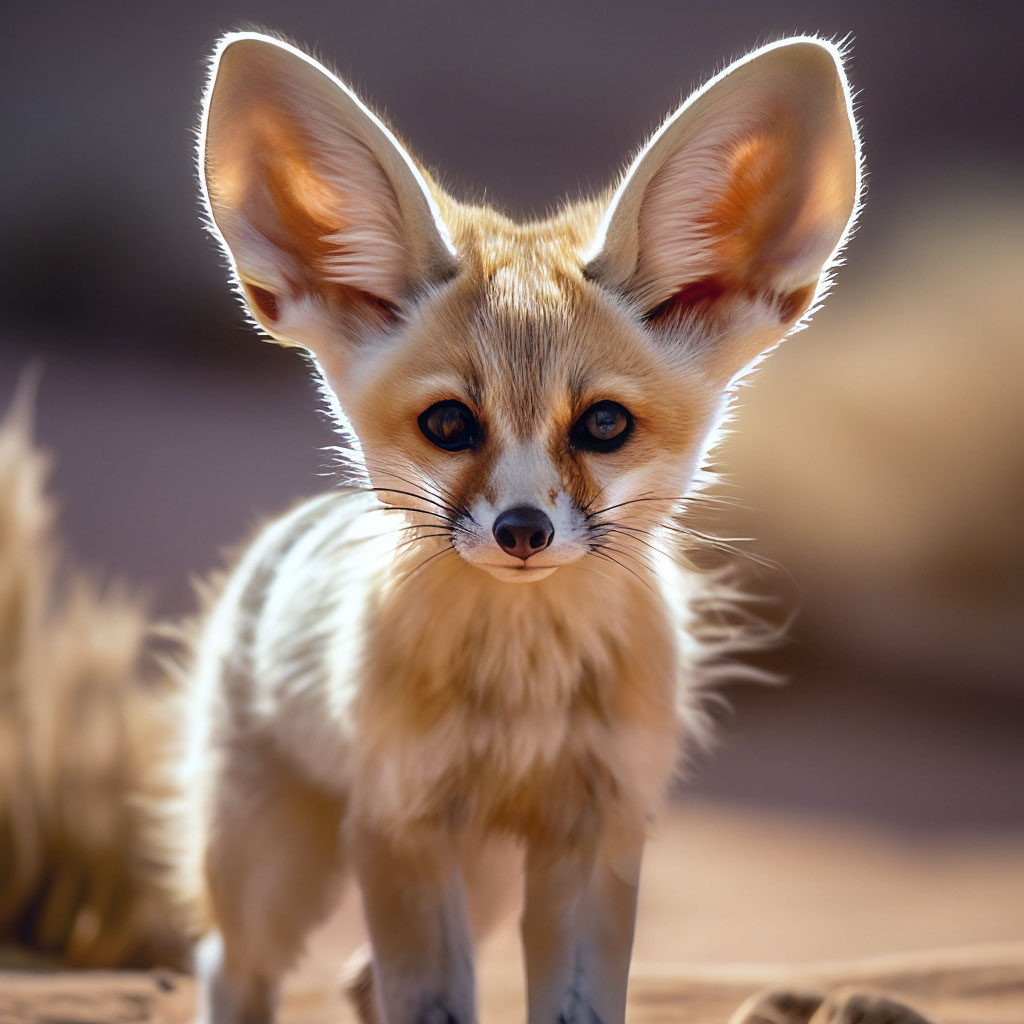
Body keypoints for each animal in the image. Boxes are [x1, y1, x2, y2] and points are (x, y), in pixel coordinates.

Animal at [180, 29, 871, 1024]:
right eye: (448, 424)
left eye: (605, 424)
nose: (521, 530)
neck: (524, 694)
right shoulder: (401, 823)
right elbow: (430, 1002)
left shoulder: (598, 828)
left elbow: (576, 1002)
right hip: (275, 868)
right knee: (232, 964)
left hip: (488, 877)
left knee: (356, 980)